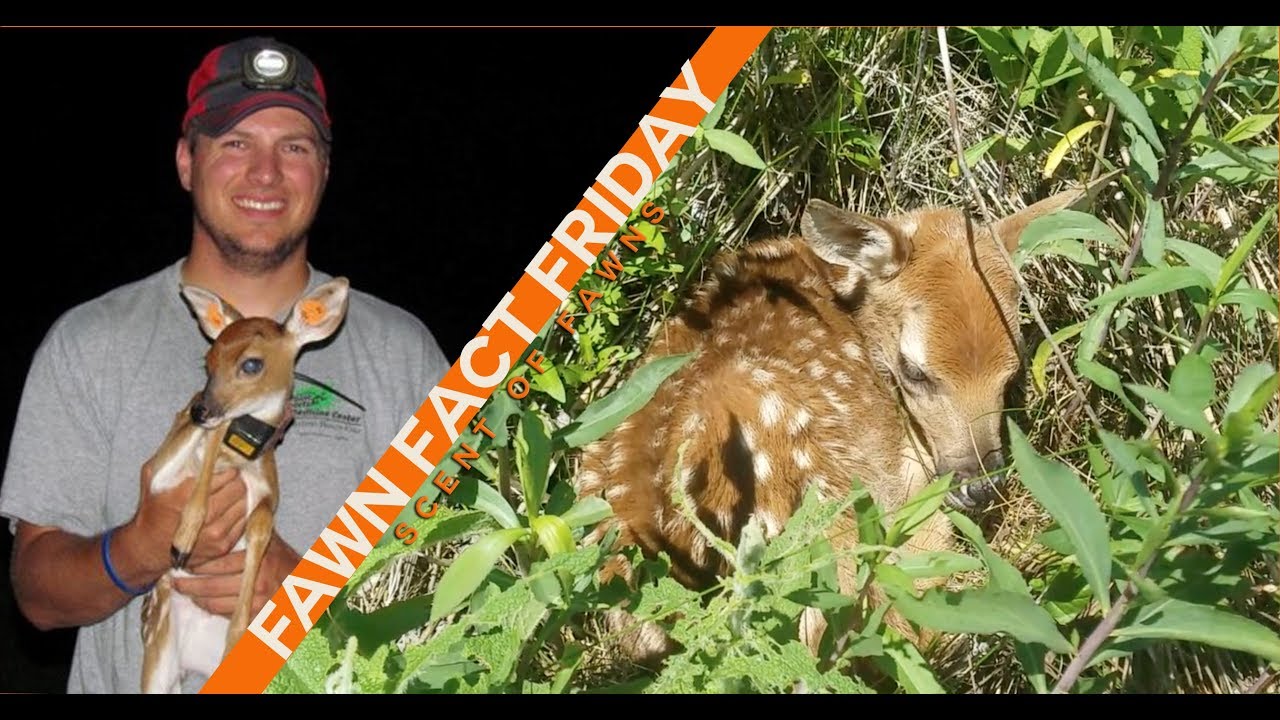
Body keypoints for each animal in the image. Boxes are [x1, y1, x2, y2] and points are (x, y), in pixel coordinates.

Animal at [138, 277, 350, 694]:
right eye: (207, 362)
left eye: (251, 364)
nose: (201, 409)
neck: (236, 461)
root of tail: (191, 663)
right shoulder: (158, 474)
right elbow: (203, 444)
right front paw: (183, 541)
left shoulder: (269, 493)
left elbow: (260, 525)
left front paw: (236, 633)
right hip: (157, 652)